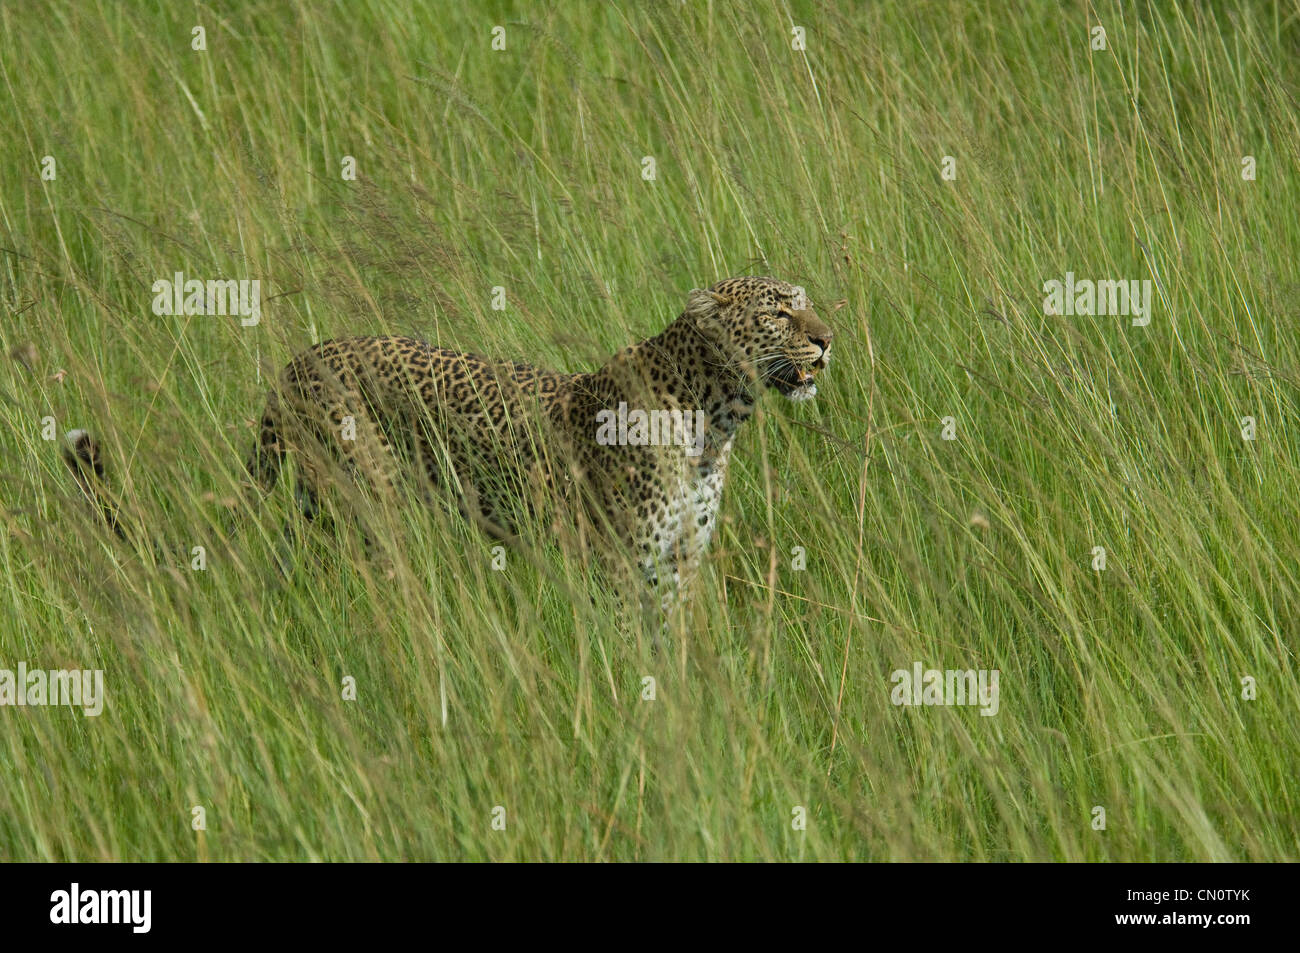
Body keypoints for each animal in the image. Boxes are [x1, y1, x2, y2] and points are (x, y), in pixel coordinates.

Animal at [64, 276, 833, 617]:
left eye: (807, 304)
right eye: (778, 310)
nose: (828, 339)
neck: (717, 420)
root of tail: (299, 359)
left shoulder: (678, 563)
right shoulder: (622, 561)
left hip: (314, 504)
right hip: (371, 501)